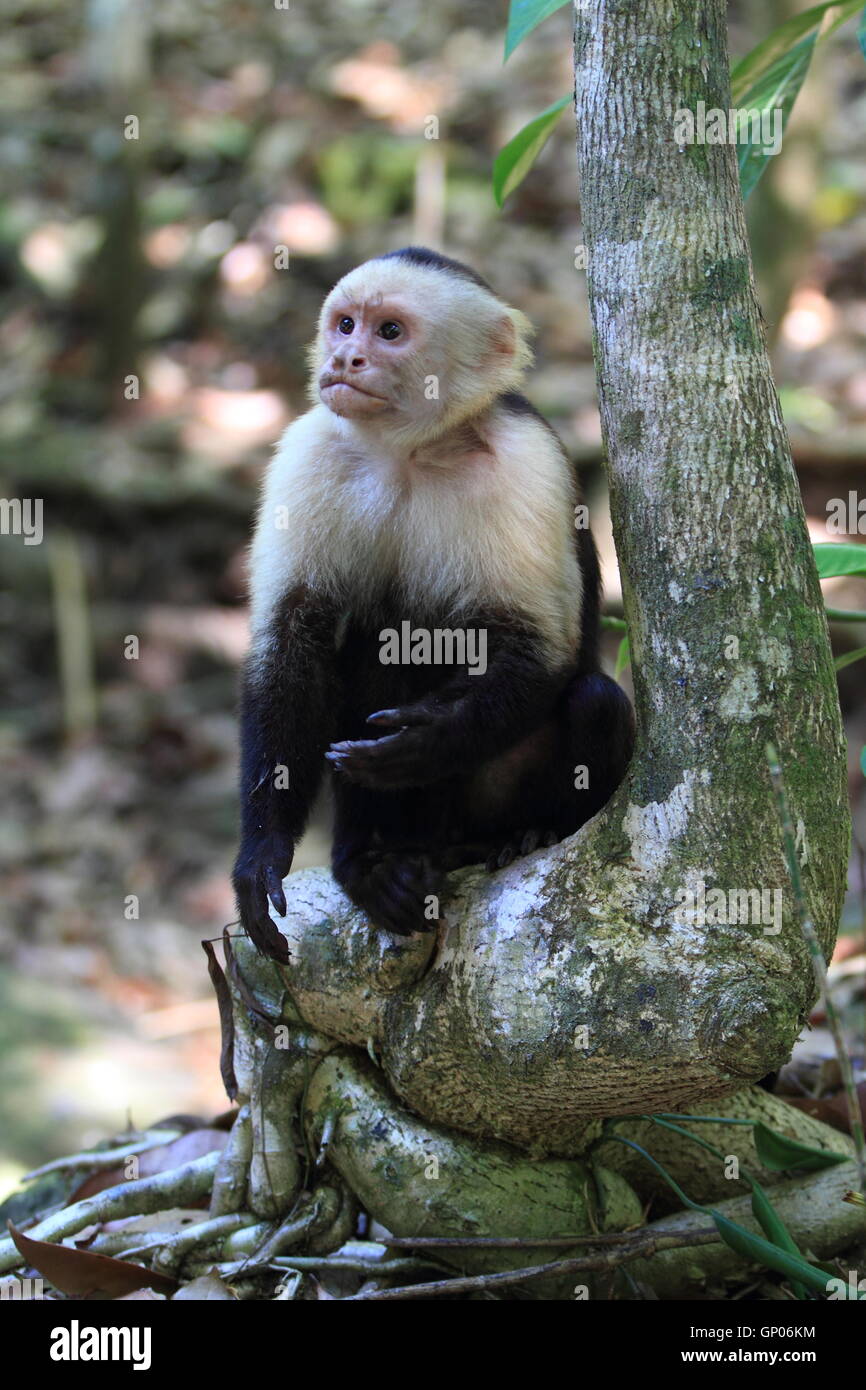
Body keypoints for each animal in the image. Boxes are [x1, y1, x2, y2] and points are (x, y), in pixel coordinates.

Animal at [232, 247, 634, 962]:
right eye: (345, 324)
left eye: (390, 332)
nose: (347, 358)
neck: (412, 450)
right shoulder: (309, 450)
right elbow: (291, 644)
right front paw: (262, 855)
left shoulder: (526, 462)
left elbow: (539, 652)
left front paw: (423, 740)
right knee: (375, 637)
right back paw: (370, 862)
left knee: (593, 700)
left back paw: (524, 835)